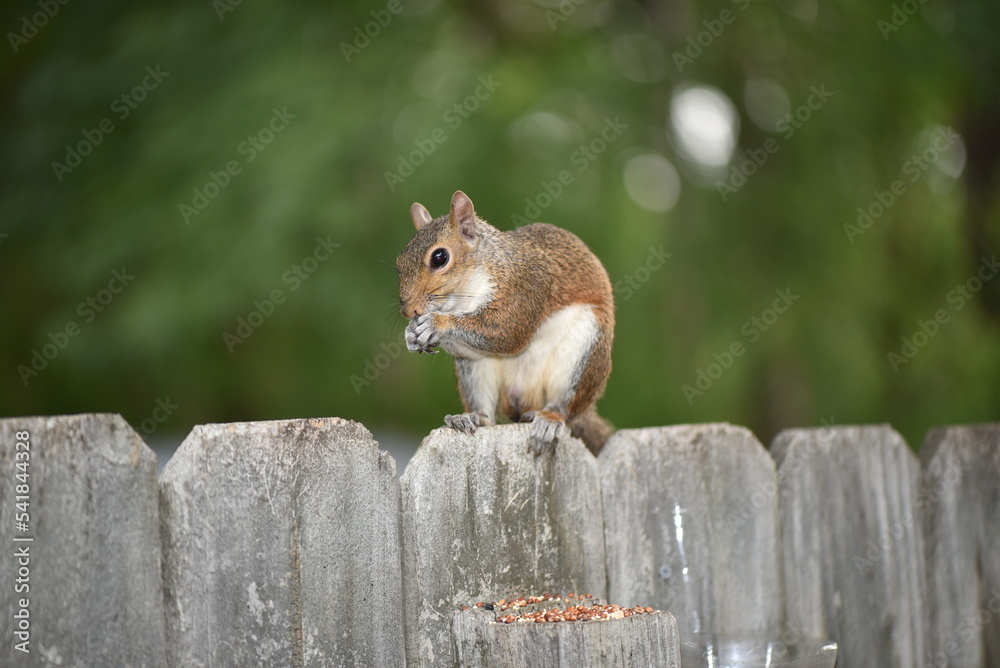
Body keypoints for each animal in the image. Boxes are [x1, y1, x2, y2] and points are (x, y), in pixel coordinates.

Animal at [396, 190, 615, 455]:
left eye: (440, 257)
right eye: (399, 262)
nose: (408, 311)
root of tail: (524, 399)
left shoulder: (527, 288)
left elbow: (507, 331)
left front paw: (435, 324)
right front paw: (410, 335)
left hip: (582, 352)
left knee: (565, 407)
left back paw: (549, 419)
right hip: (474, 369)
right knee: (487, 413)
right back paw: (470, 418)